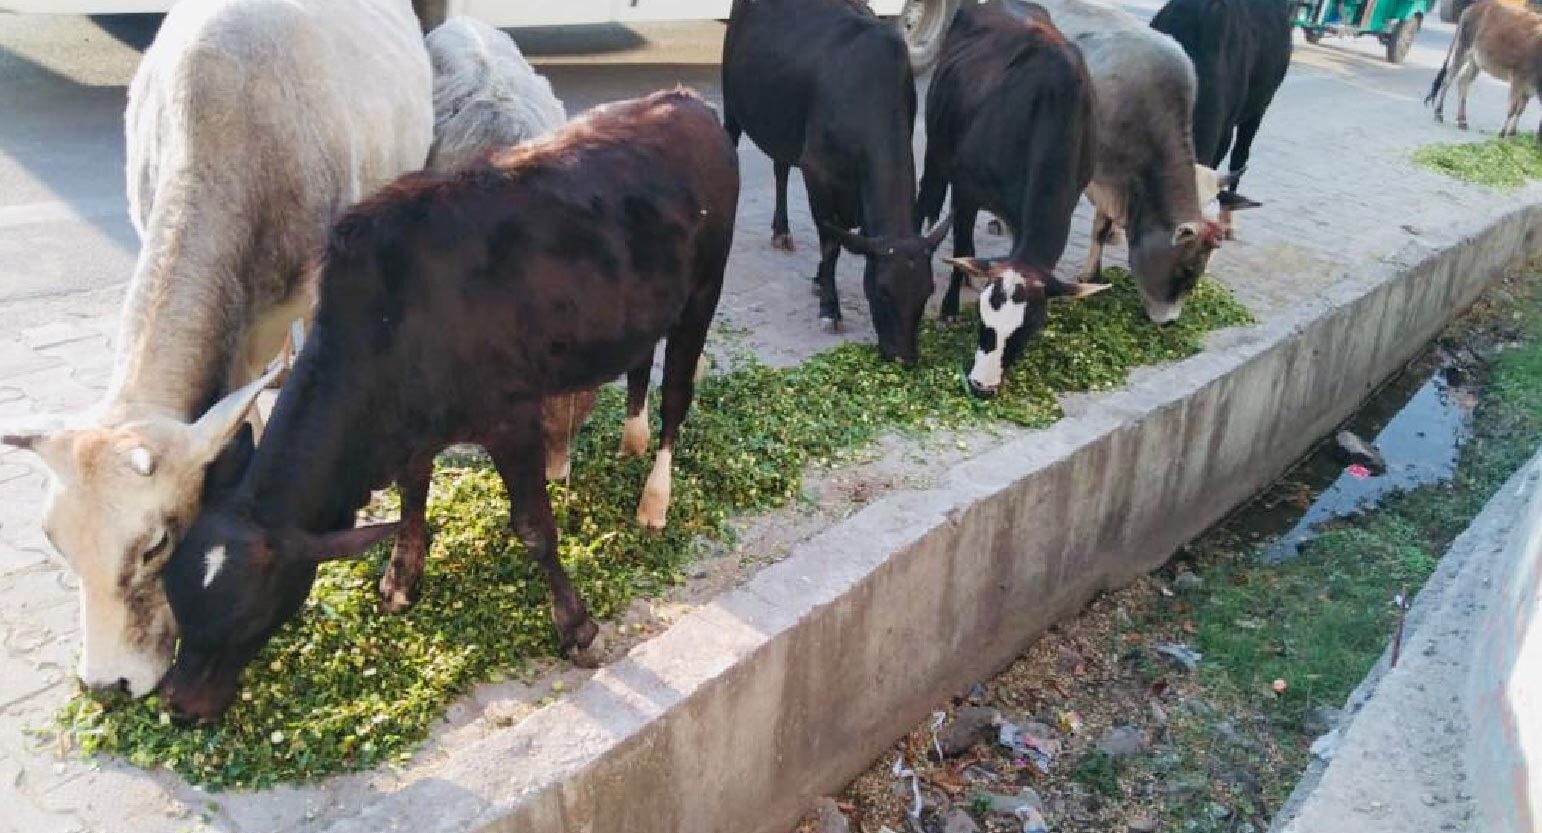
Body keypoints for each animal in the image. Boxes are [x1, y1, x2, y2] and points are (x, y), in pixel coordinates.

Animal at [156, 88, 739, 722]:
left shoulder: (510, 417)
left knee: (677, 395)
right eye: (176, 600)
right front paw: (400, 577)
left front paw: (577, 628)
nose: (179, 705)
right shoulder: (414, 430)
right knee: (640, 362)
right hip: (646, 303)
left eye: (250, 613)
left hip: (704, 290)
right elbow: (413, 499)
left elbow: (535, 528)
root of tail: (685, 99)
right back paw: (631, 439)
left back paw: (654, 498)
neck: (392, 324)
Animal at [722, 0, 950, 366]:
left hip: (786, 129)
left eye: (927, 291)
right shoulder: (818, 173)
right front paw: (829, 307)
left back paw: (781, 230)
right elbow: (831, 241)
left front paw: (818, 279)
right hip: (732, 105)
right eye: (882, 292)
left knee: (781, 168)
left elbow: (844, 236)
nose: (904, 357)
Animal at [916, 0, 1110, 398]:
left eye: (1029, 329)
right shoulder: (966, 189)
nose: (981, 386)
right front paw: (949, 308)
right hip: (937, 149)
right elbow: (961, 242)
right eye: (983, 319)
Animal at [1028, 0, 1226, 324]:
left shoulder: (1115, 184)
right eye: (1184, 270)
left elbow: (1101, 229)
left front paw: (1092, 274)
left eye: (1199, 273)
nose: (1170, 322)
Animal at [1426, 0, 1542, 139]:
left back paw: (1462, 120)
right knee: (1448, 79)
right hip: (1463, 49)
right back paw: (1439, 113)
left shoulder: (1529, 87)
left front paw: (1512, 133)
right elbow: (1512, 108)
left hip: (1476, 62)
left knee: (1463, 81)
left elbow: (1520, 110)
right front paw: (1502, 133)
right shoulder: (1518, 78)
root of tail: (1473, 7)